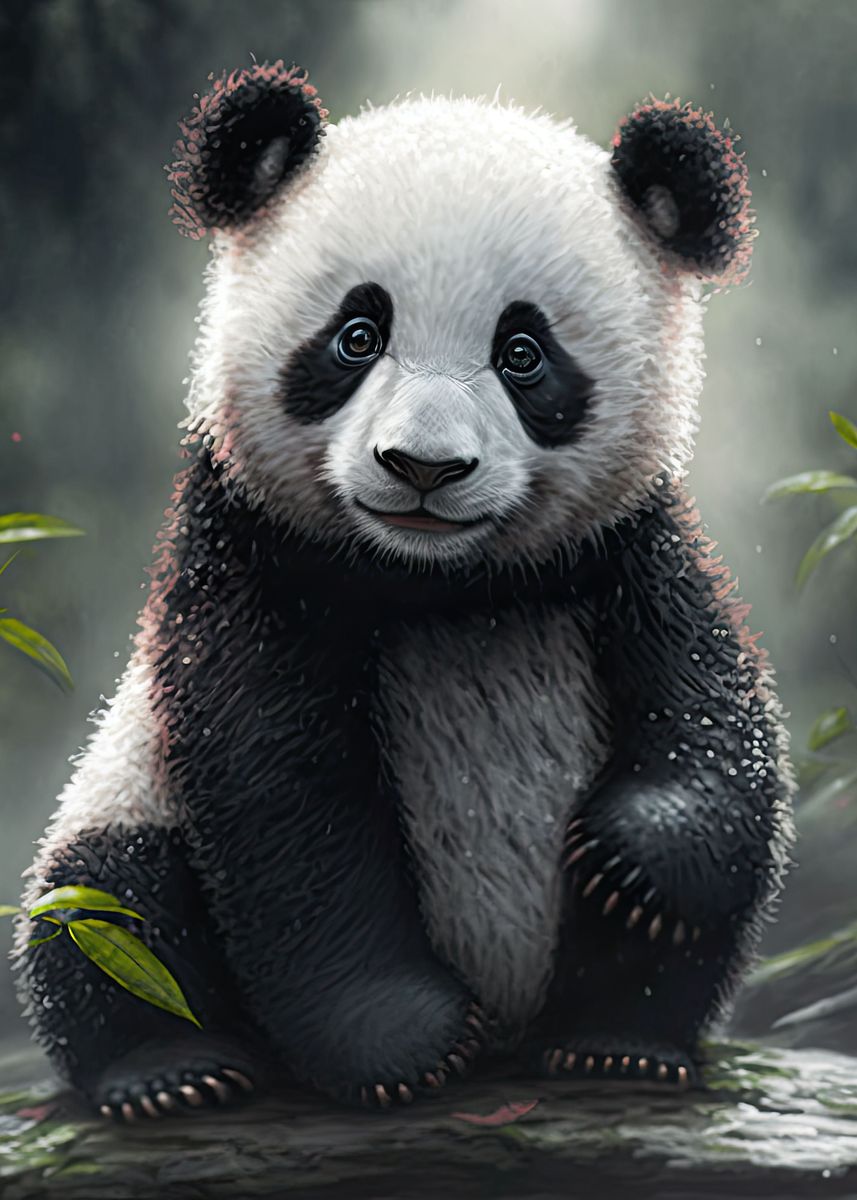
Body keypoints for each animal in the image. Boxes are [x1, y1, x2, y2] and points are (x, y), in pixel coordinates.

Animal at [16, 61, 794, 1121]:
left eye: (523, 354)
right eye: (355, 335)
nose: (423, 466)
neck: (438, 582)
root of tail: (514, 1029)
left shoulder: (624, 550)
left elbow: (710, 700)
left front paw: (637, 859)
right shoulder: (253, 558)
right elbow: (280, 792)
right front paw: (400, 1044)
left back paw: (617, 1044)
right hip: (125, 798)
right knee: (104, 907)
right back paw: (170, 1071)